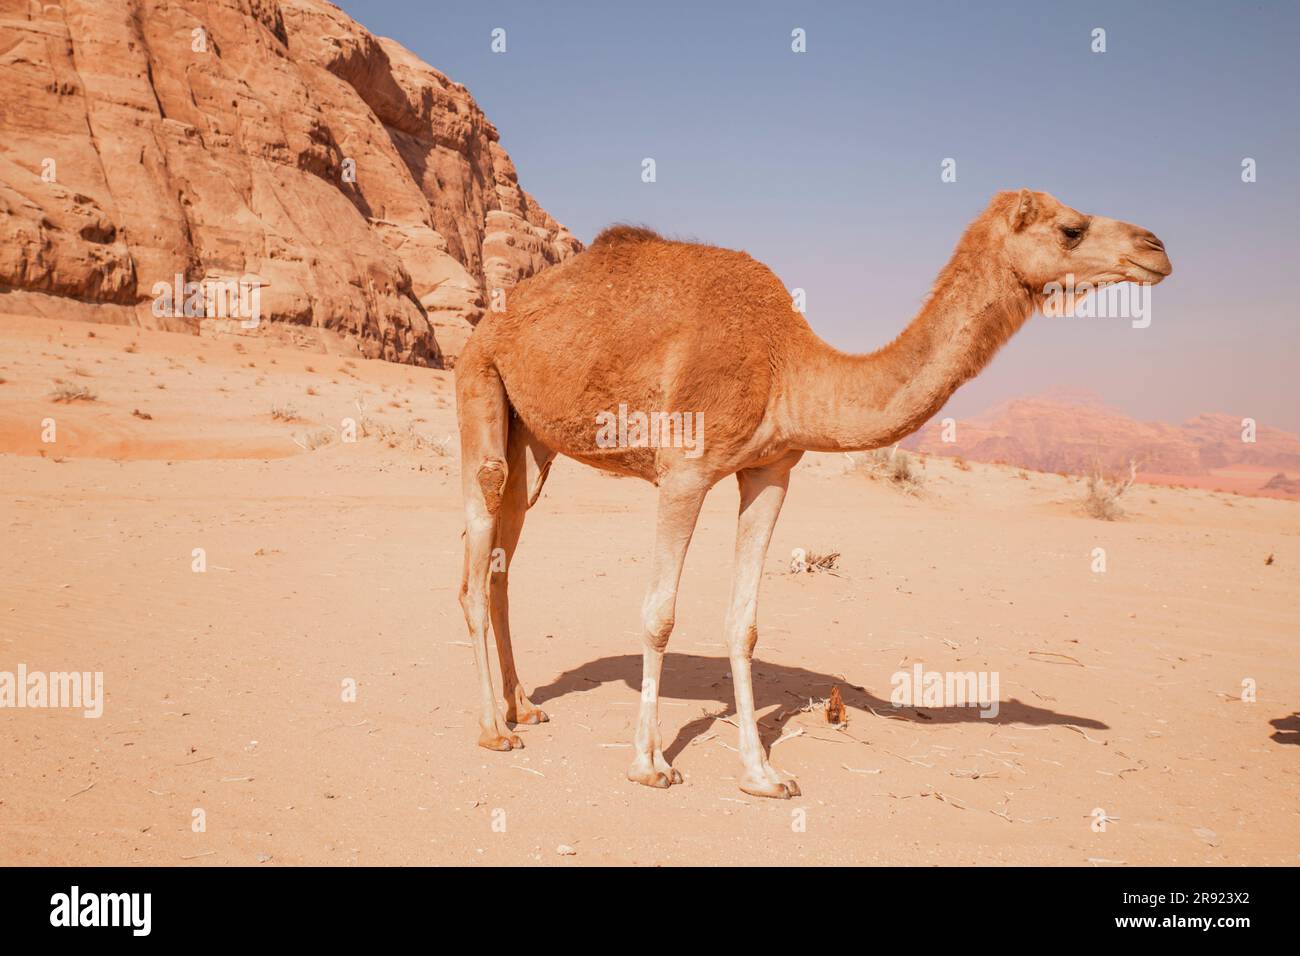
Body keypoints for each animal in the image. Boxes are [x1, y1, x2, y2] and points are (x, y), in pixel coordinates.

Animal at [454, 189, 1171, 798]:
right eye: (1072, 227)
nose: (1156, 247)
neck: (788, 364)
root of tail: (490, 320)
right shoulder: (684, 470)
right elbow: (659, 615)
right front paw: (650, 765)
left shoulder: (771, 470)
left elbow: (744, 623)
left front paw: (763, 775)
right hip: (479, 385)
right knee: (476, 556)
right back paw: (493, 729)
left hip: (534, 441)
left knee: (501, 562)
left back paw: (526, 708)